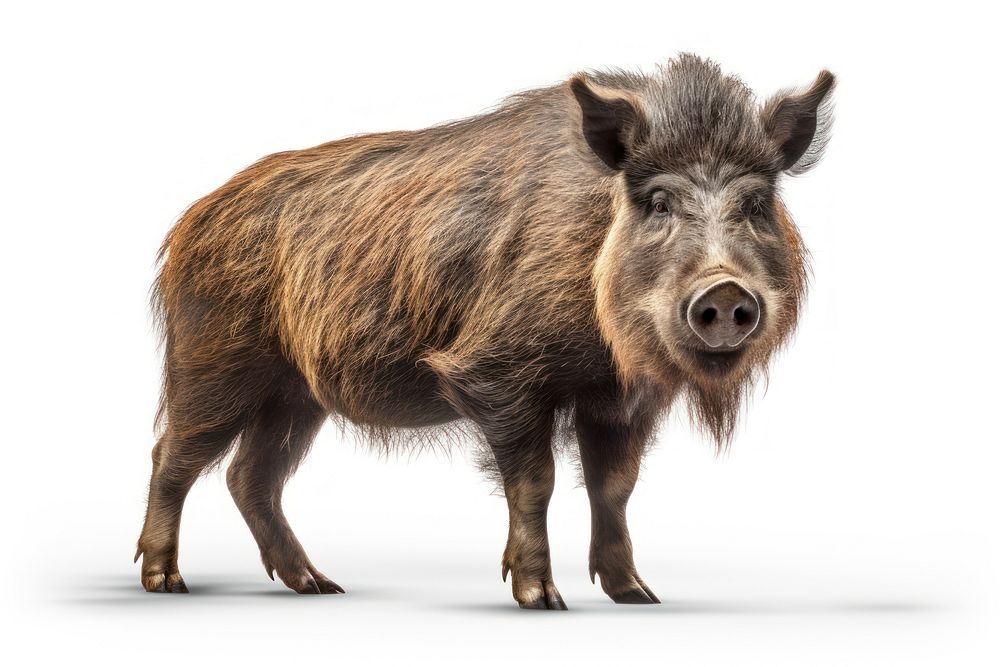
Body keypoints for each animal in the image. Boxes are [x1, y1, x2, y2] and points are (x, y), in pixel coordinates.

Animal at [136, 53, 834, 609]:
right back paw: (167, 583)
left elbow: (615, 487)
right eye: (660, 201)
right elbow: (535, 482)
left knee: (250, 476)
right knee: (173, 457)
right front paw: (543, 600)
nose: (725, 291)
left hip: (296, 393)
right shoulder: (498, 371)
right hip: (214, 359)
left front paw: (639, 596)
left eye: (755, 203)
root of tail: (186, 224)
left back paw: (319, 586)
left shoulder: (623, 397)